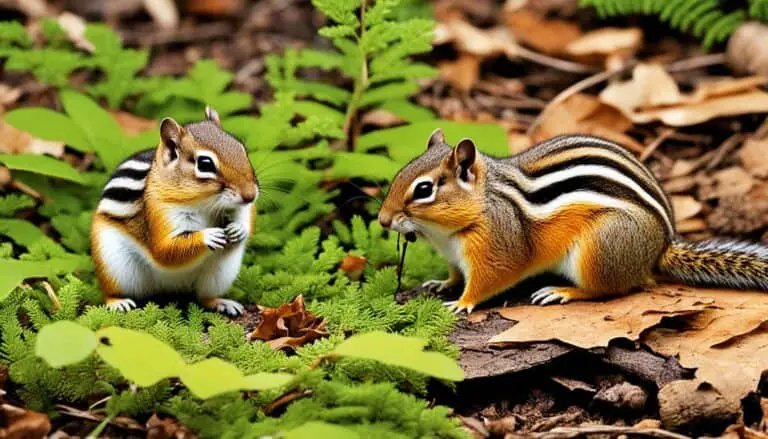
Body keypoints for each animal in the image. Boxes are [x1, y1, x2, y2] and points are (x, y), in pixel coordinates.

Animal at [90, 107, 258, 316]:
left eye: (243, 150)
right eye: (205, 164)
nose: (251, 195)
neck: (205, 204)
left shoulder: (243, 210)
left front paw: (239, 230)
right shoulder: (159, 212)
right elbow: (165, 251)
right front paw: (208, 236)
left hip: (220, 274)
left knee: (203, 297)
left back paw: (221, 302)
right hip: (113, 263)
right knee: (109, 292)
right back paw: (117, 302)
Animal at [378, 130, 768, 314]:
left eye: (424, 189)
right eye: (398, 174)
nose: (382, 220)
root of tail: (660, 247)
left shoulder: (498, 246)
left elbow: (489, 279)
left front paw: (463, 302)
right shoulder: (456, 257)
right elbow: (455, 274)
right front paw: (442, 284)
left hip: (599, 248)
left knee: (607, 290)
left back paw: (563, 291)